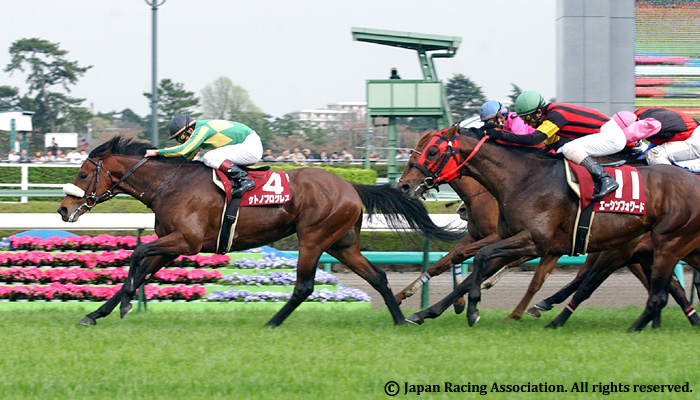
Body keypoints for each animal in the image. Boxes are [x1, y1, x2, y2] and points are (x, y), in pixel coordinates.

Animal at [57, 136, 465, 326]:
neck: (170, 184)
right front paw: (97, 313)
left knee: (304, 286)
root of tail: (350, 186)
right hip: (342, 244)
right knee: (378, 276)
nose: (62, 210)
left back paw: (272, 322)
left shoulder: (185, 240)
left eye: (83, 173)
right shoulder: (173, 244)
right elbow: (141, 270)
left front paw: (124, 304)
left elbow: (137, 256)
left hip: (313, 238)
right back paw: (399, 319)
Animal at [398, 126, 700, 331]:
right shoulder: (514, 240)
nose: (404, 185)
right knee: (666, 286)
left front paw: (472, 309)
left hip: (660, 244)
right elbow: (472, 268)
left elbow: (481, 260)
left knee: (655, 287)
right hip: (647, 248)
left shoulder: (534, 240)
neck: (523, 178)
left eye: (433, 151)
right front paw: (425, 311)